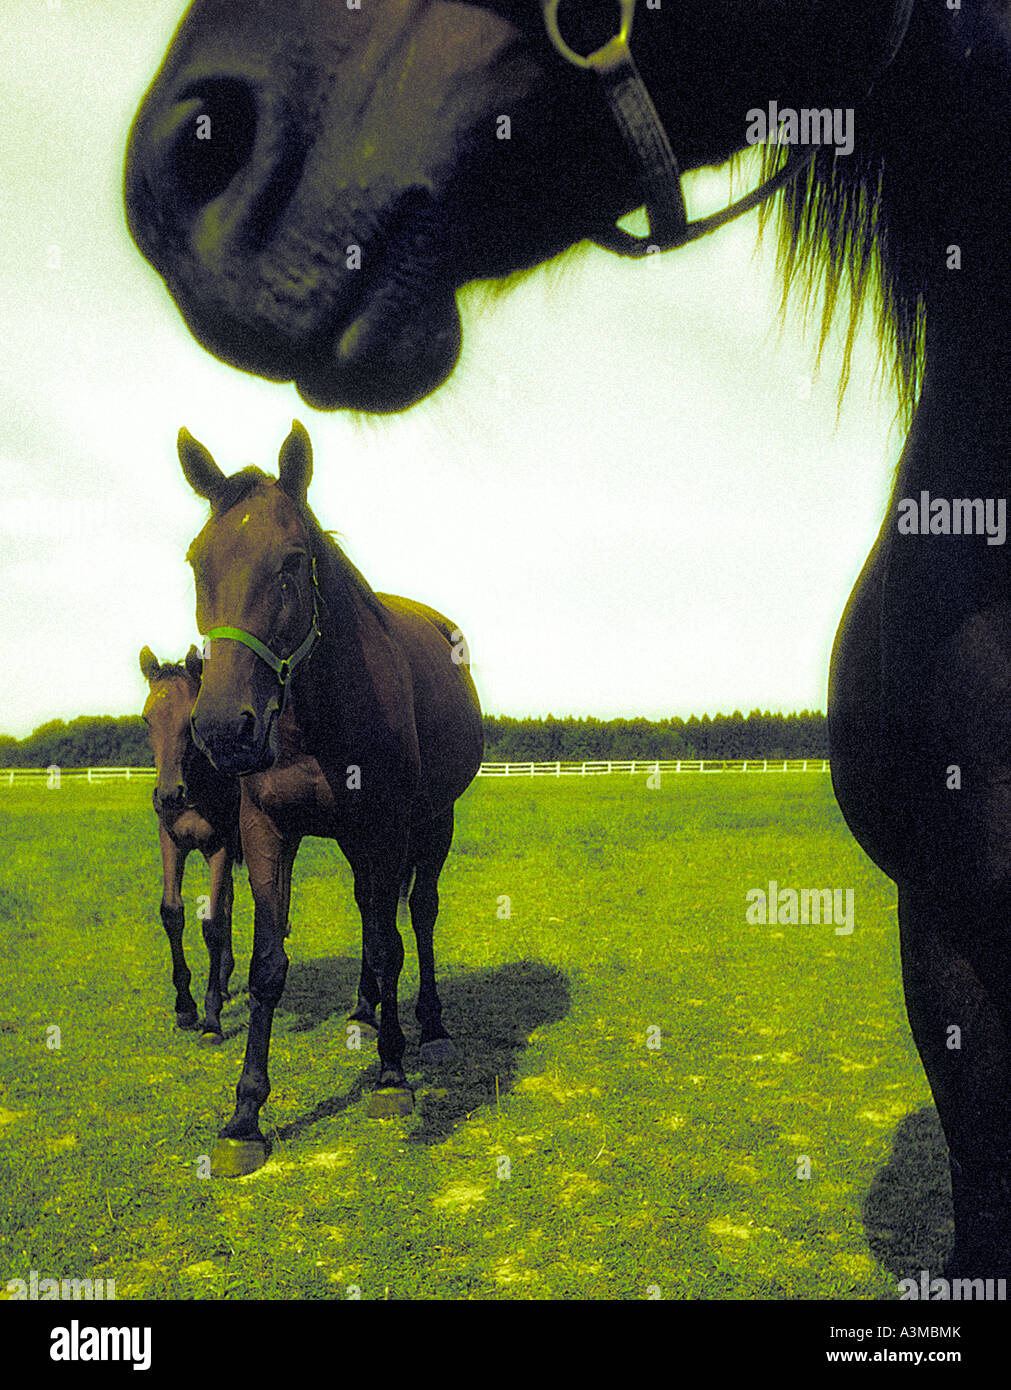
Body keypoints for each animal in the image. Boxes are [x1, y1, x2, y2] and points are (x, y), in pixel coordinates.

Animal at [139, 644, 240, 1041]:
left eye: (191, 722)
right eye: (147, 720)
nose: (169, 795)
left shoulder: (220, 846)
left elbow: (212, 923)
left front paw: (211, 1019)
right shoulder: (171, 841)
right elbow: (172, 912)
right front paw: (185, 1007)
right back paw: (225, 982)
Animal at [178, 420, 483, 1175]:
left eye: (292, 561)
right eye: (197, 562)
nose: (224, 728)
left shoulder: (387, 827)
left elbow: (390, 944)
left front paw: (393, 1077)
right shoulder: (266, 829)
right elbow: (269, 963)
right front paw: (245, 1115)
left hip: (433, 822)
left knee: (416, 915)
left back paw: (429, 1025)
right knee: (373, 913)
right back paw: (363, 1012)